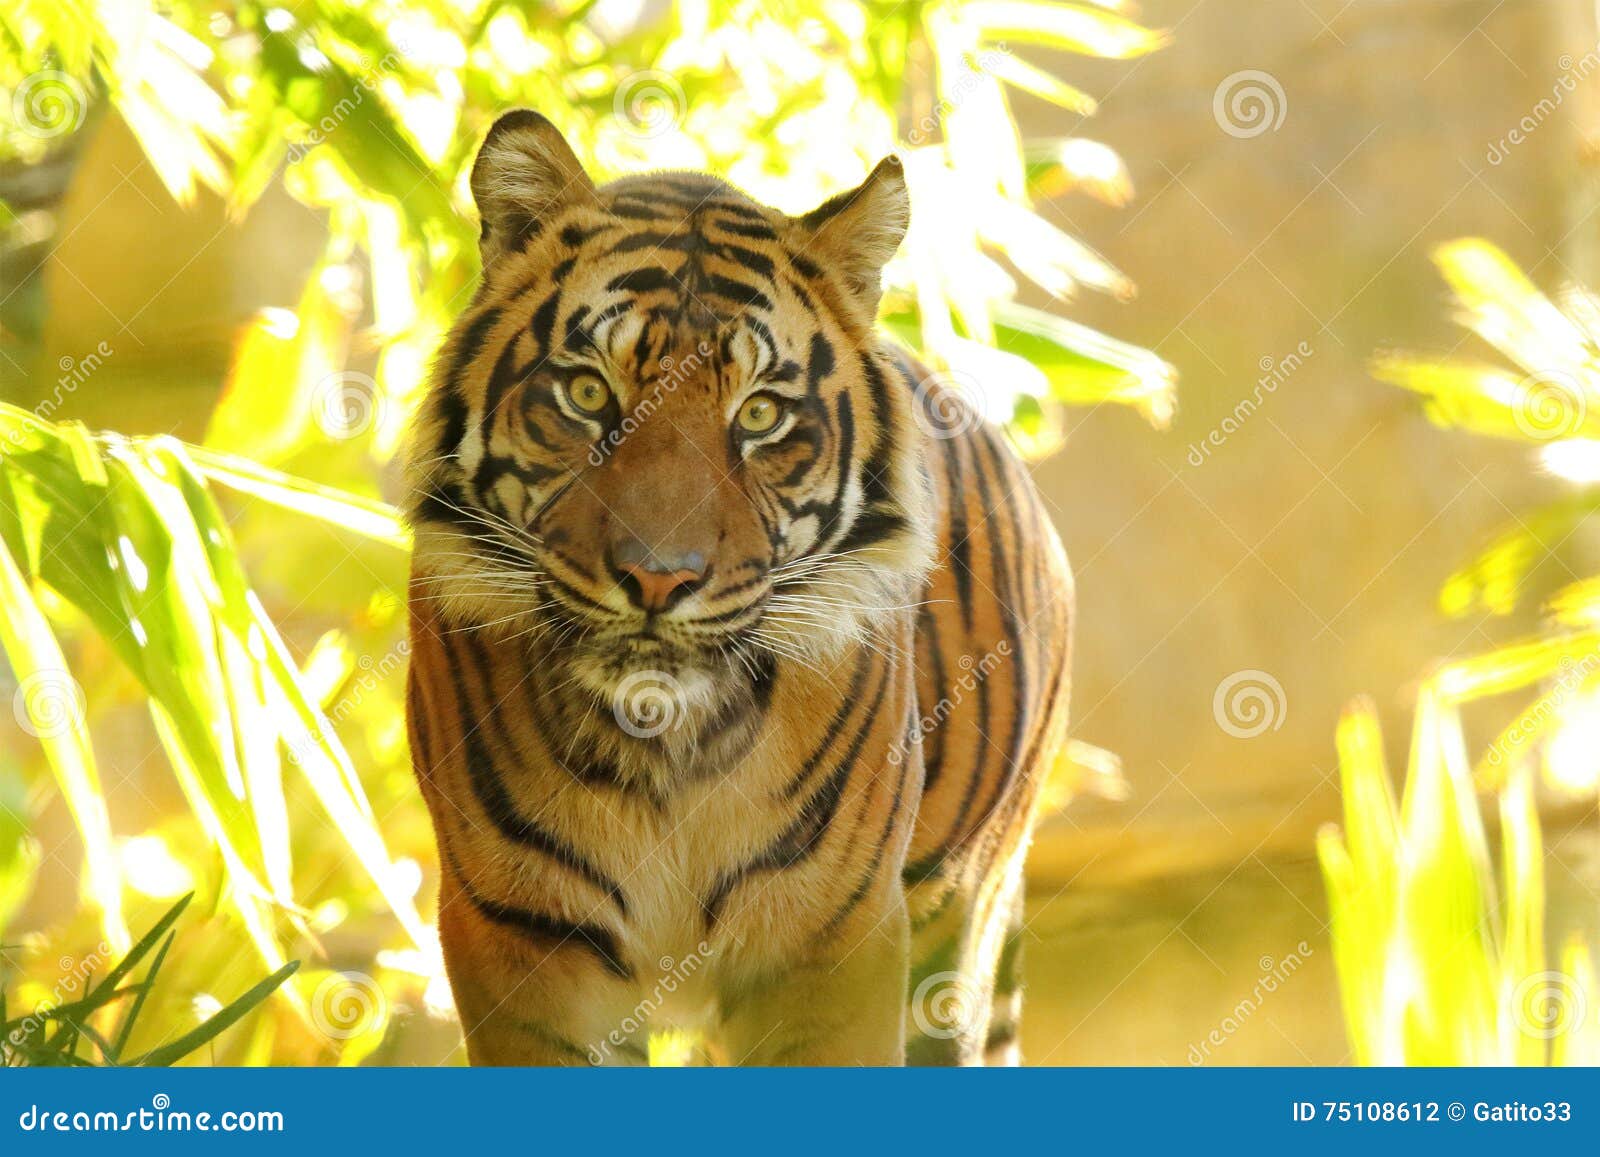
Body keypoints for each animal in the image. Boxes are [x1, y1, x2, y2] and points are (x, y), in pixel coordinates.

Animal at [402, 109, 1074, 1066]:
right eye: (587, 394)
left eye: (759, 413)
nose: (658, 576)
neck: (664, 754)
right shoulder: (519, 938)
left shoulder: (831, 942)